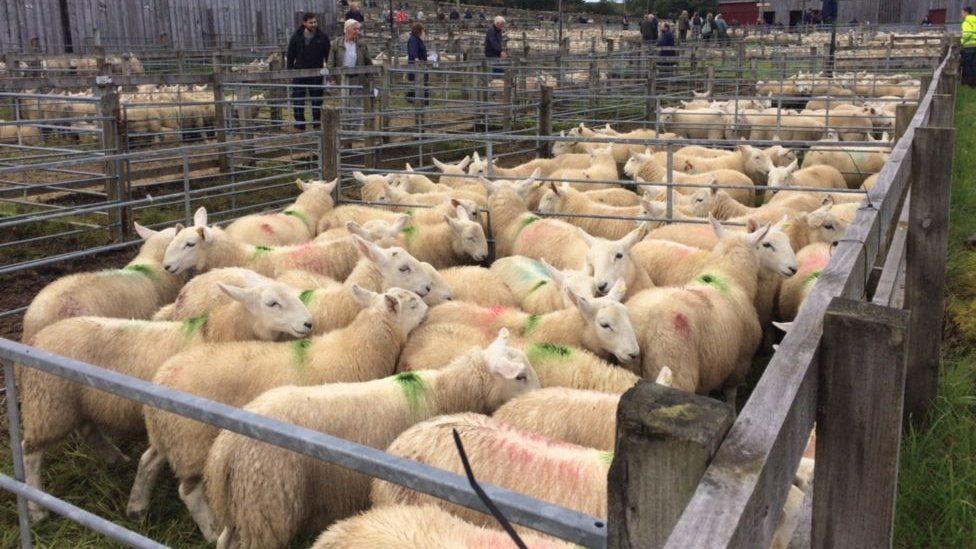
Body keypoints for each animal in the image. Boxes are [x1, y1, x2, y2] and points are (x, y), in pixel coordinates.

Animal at [19, 273, 312, 523]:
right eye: (272, 303)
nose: (309, 323)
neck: (214, 332)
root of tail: (37, 338)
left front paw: (137, 504)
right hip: (48, 404)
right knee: (31, 452)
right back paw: (36, 509)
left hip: (75, 402)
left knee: (88, 430)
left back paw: (116, 459)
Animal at [135, 286, 428, 540]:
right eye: (412, 303)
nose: (430, 309)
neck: (357, 345)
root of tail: (162, 377)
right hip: (191, 439)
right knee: (189, 491)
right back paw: (210, 530)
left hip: (170, 434)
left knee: (149, 459)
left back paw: (137, 506)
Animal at [205, 329, 540, 549]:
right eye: (520, 376)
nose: (540, 395)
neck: (442, 390)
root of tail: (224, 449)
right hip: (268, 507)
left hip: (244, 504)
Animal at [626, 217, 766, 401]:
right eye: (759, 247)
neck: (730, 276)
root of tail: (641, 328)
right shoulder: (740, 362)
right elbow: (730, 395)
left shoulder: (710, 369)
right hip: (674, 364)